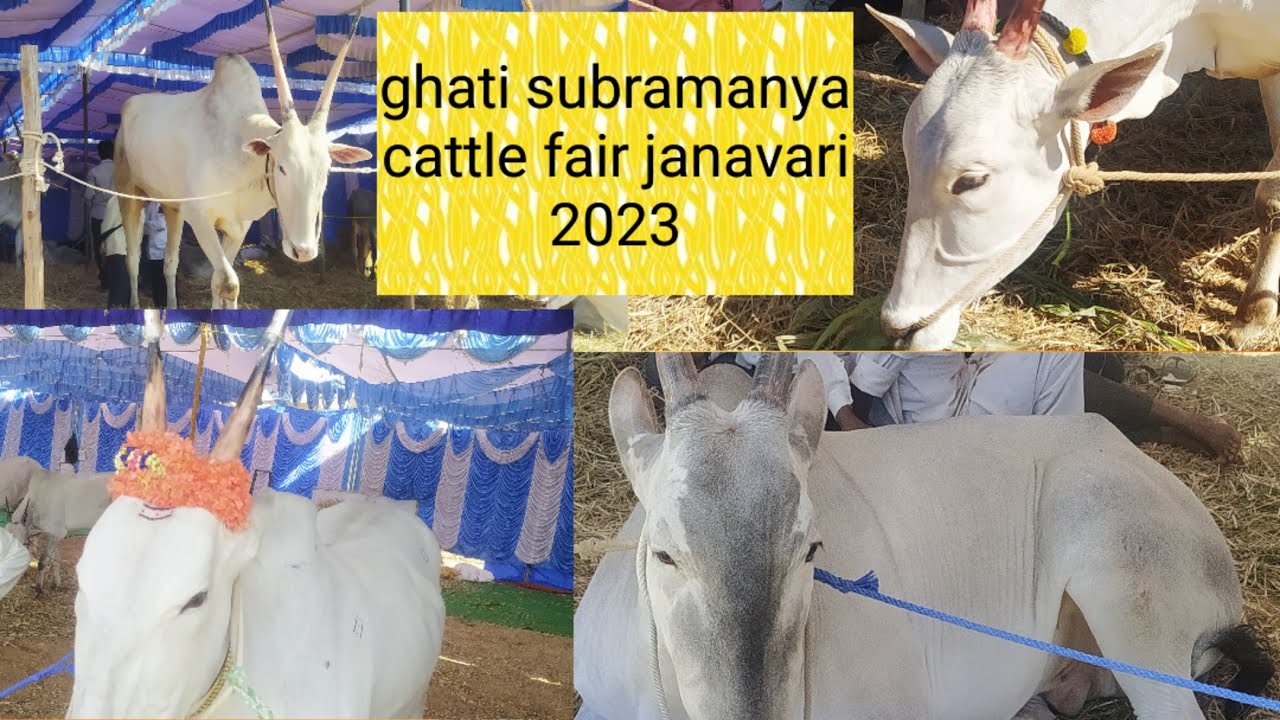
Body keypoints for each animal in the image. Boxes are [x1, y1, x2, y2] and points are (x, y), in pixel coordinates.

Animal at [7, 467, 112, 595]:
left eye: (22, 544)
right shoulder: (52, 534)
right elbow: (55, 561)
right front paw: (57, 584)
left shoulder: (57, 532)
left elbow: (43, 561)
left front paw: (39, 589)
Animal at [113, 0, 373, 310]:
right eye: (282, 167)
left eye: (326, 171)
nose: (303, 250)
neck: (240, 152)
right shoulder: (200, 219)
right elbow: (228, 281)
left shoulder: (238, 227)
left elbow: (219, 283)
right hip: (129, 194)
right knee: (132, 259)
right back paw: (134, 307)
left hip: (172, 206)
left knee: (169, 262)